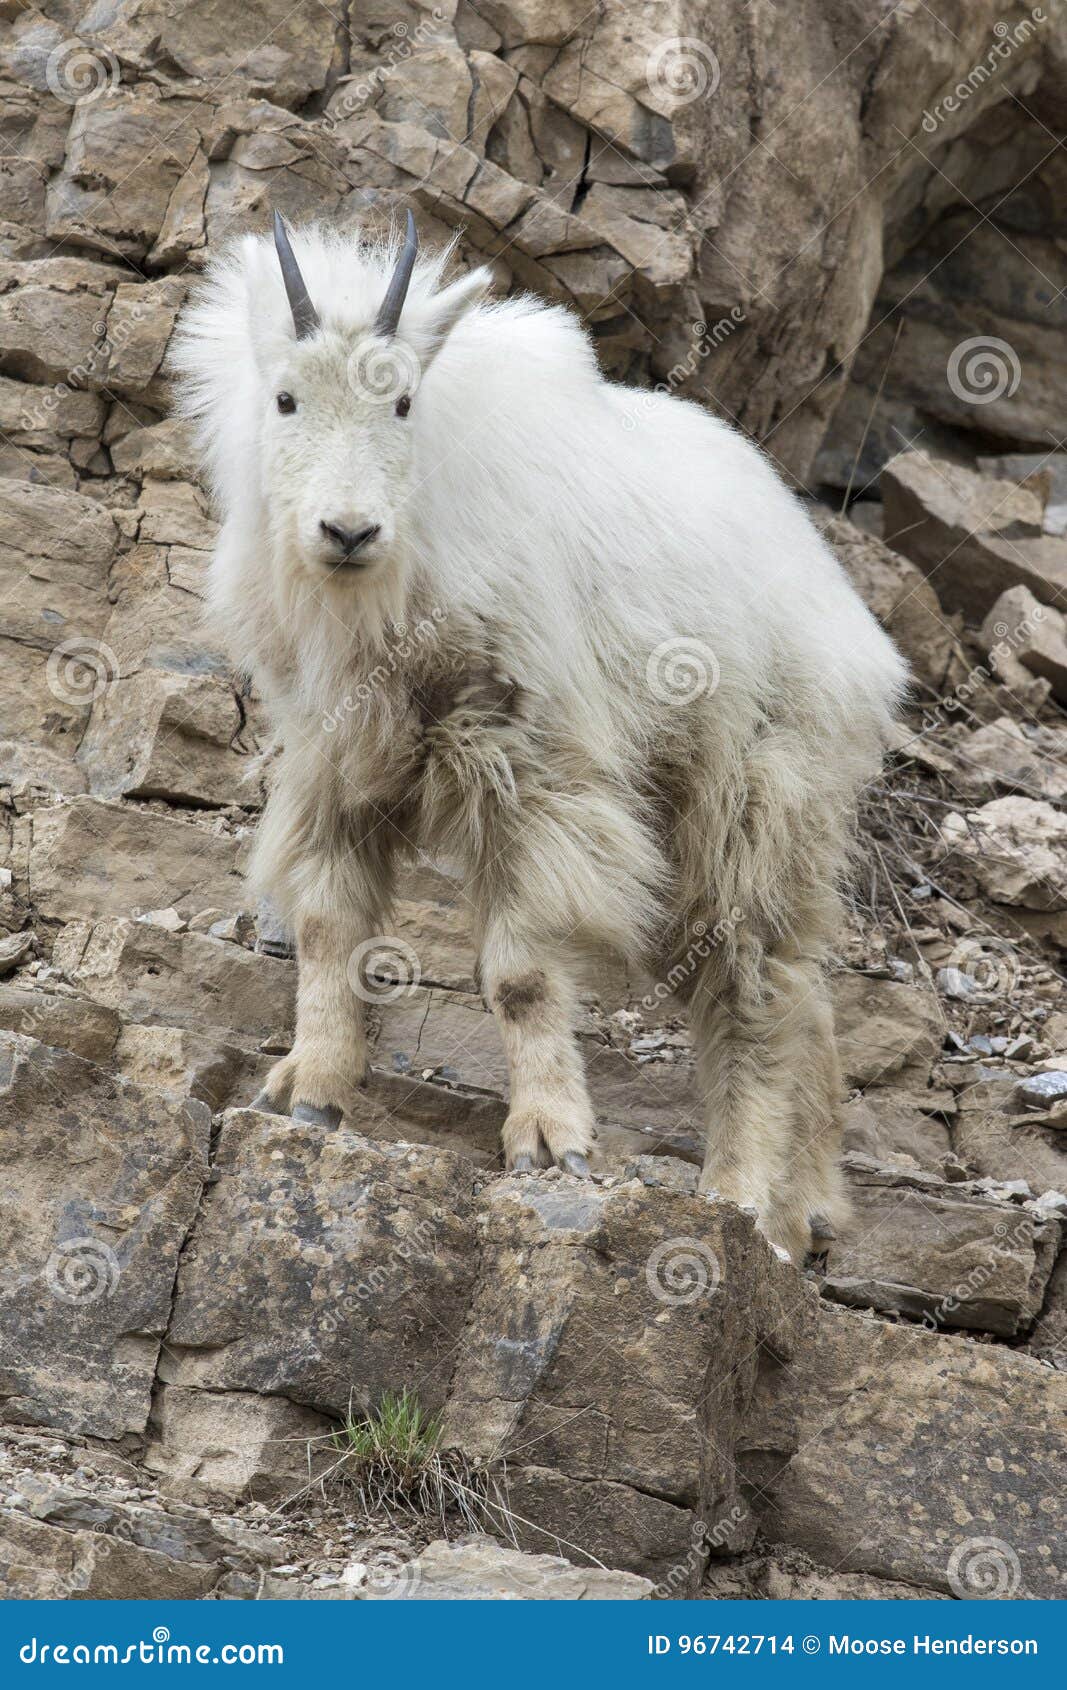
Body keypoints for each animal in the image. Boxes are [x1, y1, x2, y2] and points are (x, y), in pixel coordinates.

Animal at [170, 211, 906, 1262]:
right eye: (284, 398)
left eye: (403, 402)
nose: (348, 532)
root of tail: (850, 615)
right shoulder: (332, 761)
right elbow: (326, 927)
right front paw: (308, 1090)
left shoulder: (529, 765)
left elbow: (519, 973)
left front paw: (550, 1141)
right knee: (803, 995)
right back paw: (803, 1209)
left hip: (761, 788)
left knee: (754, 981)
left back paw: (742, 1198)